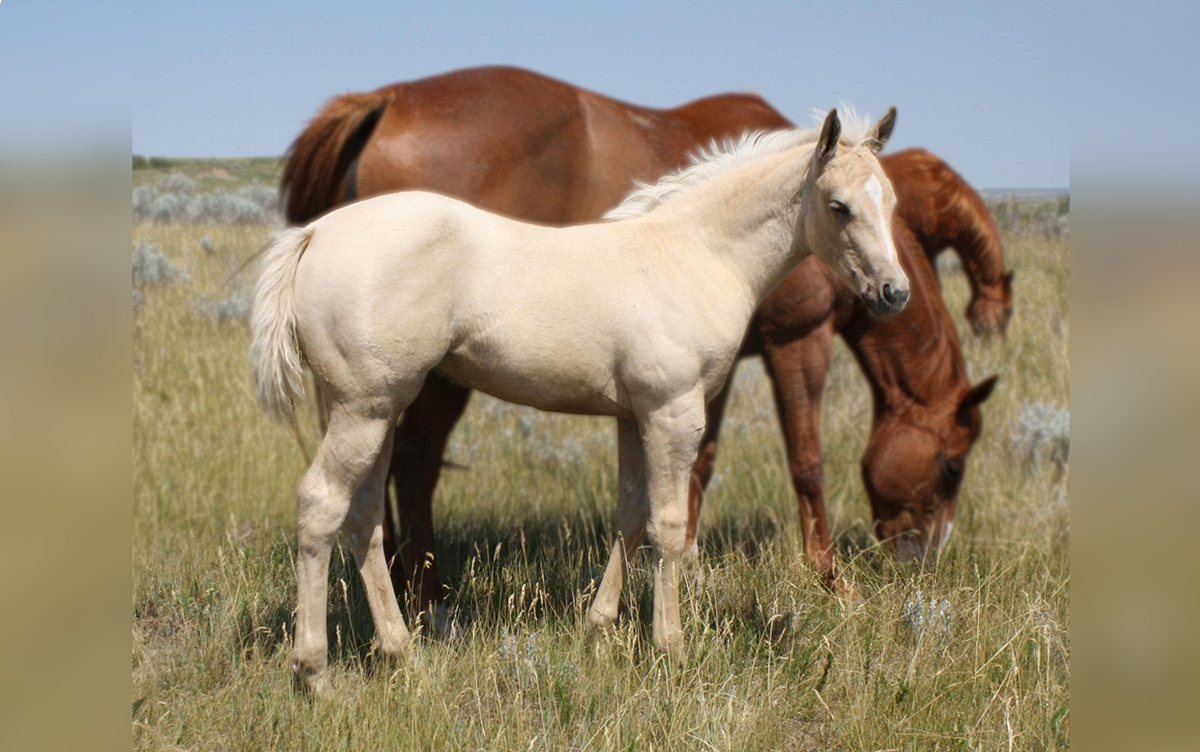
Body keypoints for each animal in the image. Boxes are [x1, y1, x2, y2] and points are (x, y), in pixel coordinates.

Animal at [254, 108, 905, 695]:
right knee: (321, 506)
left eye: (892, 203)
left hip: (379, 409)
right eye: (839, 205)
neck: (694, 254)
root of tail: (315, 233)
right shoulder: (673, 413)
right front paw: (671, 648)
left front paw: (598, 630)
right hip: (364, 409)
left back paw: (400, 652)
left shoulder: (633, 416)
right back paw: (314, 673)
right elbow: (669, 525)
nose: (894, 293)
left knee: (363, 515)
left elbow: (631, 516)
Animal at [280, 66, 1001, 611]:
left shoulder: (693, 380)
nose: (922, 559)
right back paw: (419, 605)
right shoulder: (791, 344)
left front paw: (668, 570)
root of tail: (385, 100)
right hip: (412, 387)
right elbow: (802, 465)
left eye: (893, 205)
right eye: (952, 465)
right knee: (398, 472)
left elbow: (686, 475)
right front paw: (827, 580)